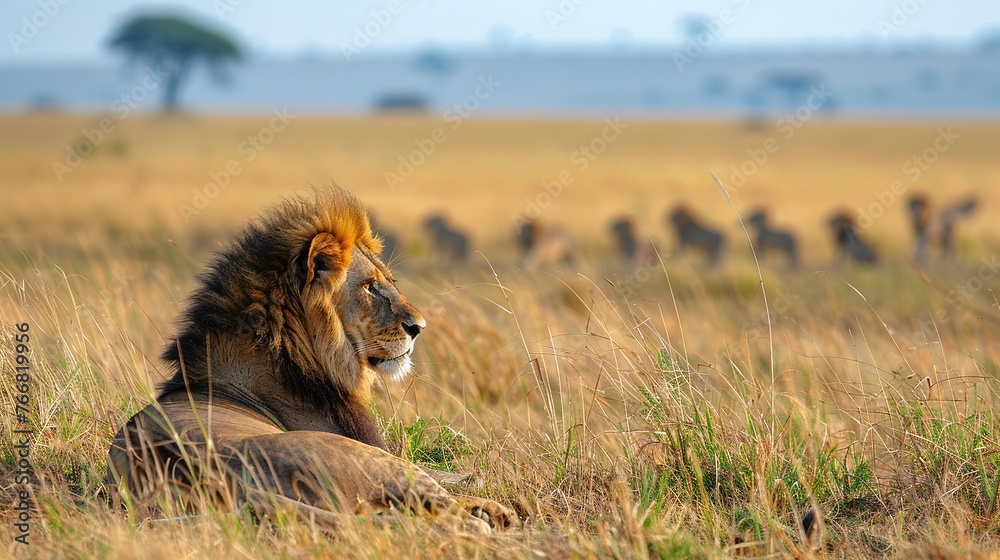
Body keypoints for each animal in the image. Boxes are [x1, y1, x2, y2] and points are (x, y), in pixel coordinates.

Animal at [107, 186, 514, 534]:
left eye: (391, 281)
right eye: (370, 287)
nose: (419, 328)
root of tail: (229, 483)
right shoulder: (371, 444)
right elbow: (450, 474)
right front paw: (478, 482)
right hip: (363, 459)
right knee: (442, 504)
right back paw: (493, 514)